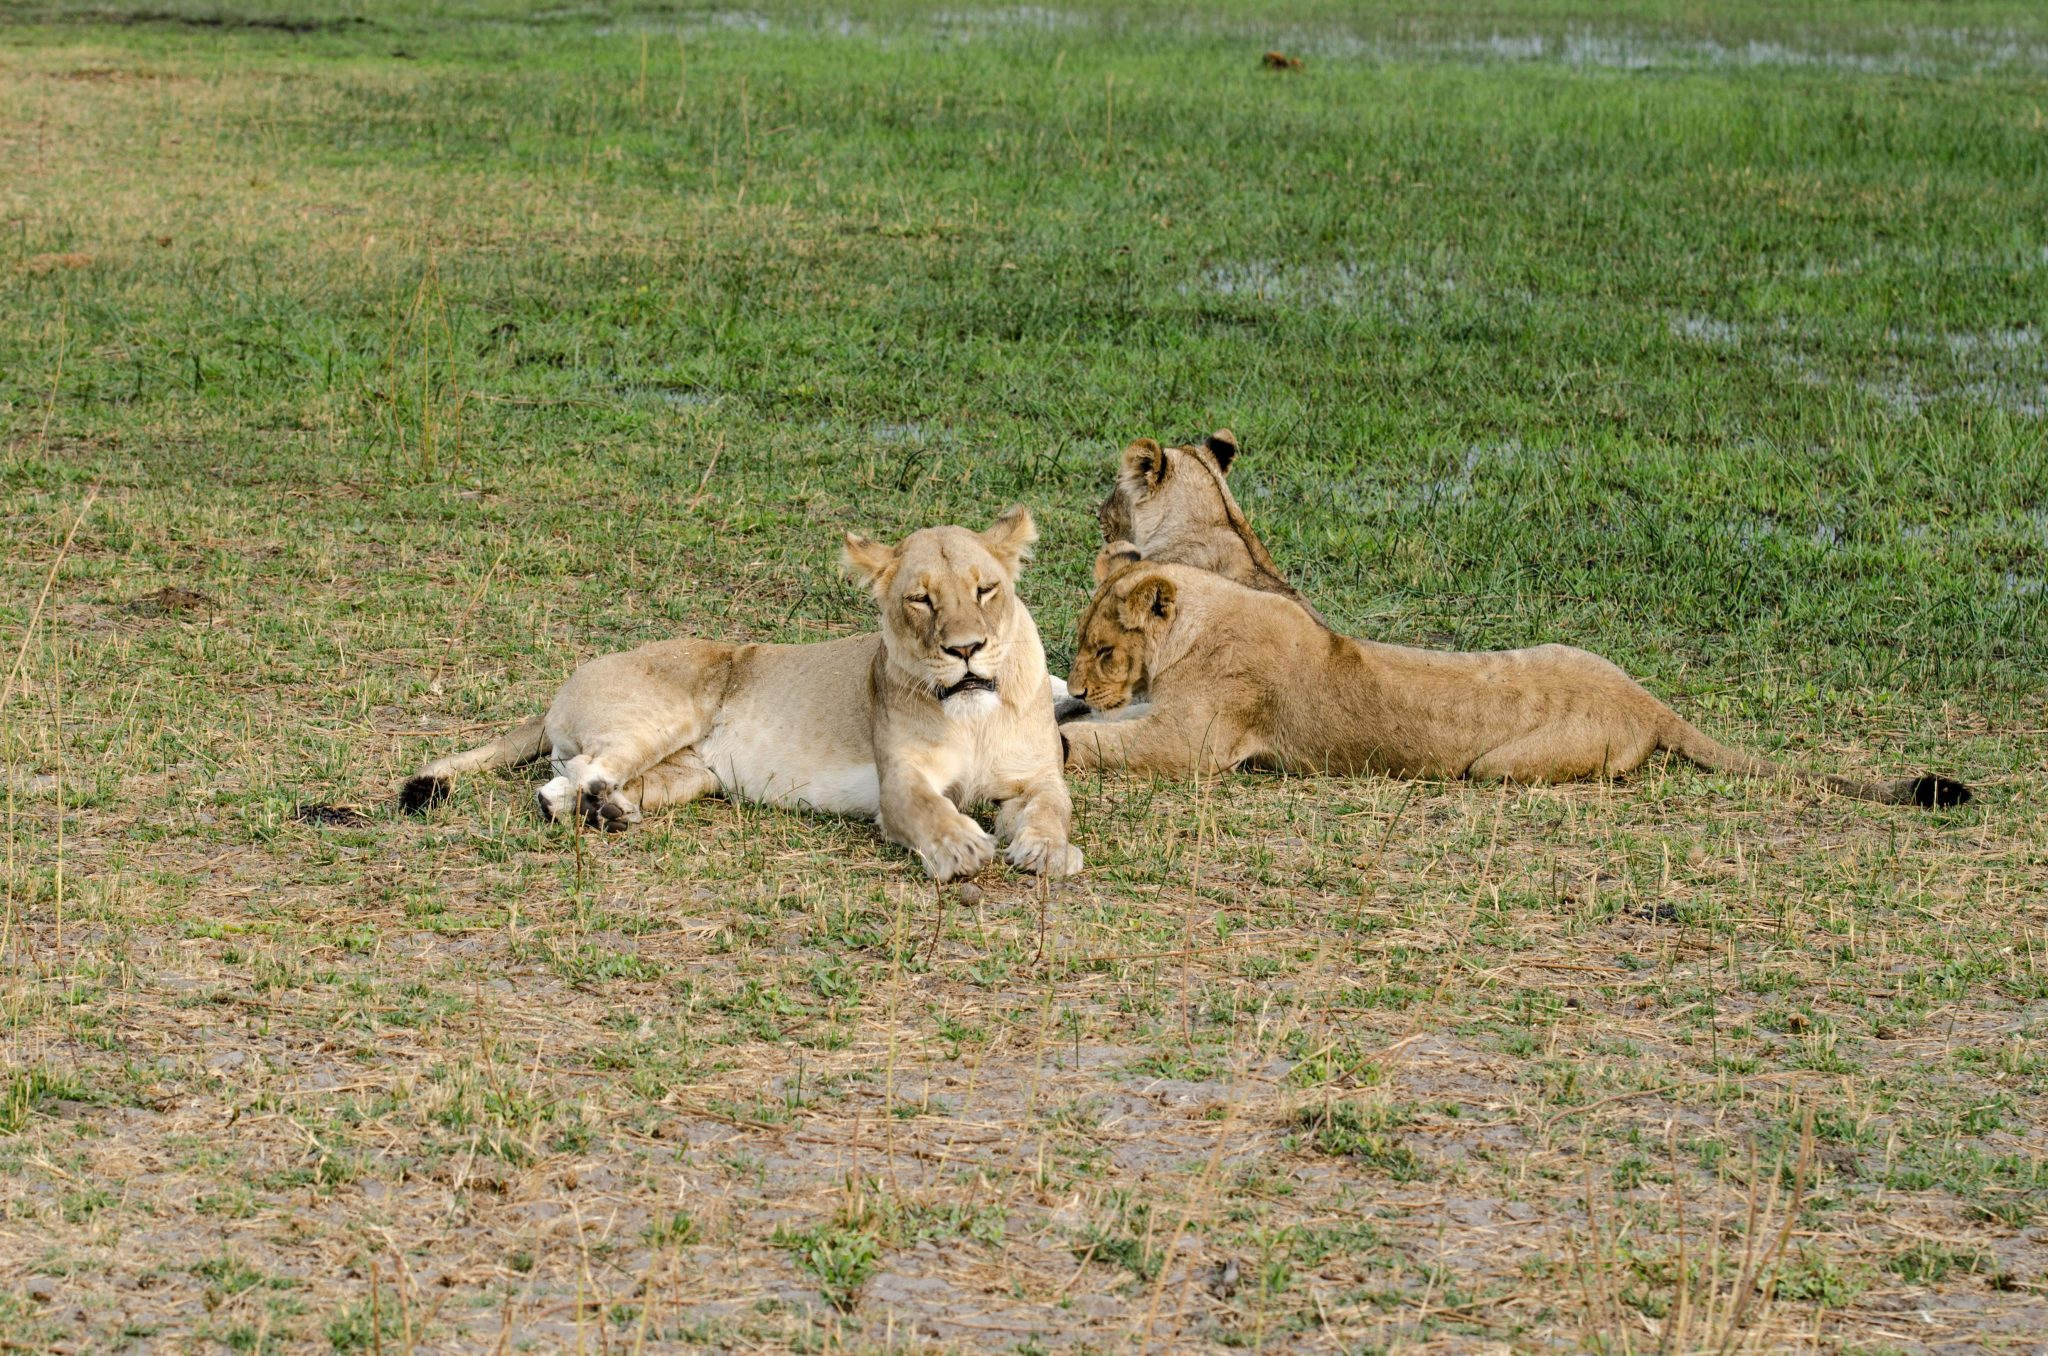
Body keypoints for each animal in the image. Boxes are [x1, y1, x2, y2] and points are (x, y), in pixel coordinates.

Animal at [400, 509, 1084, 881]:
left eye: (986, 588)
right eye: (921, 599)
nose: (966, 650)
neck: (972, 714)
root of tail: (560, 689)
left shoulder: (1038, 775)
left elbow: (1054, 808)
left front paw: (1048, 850)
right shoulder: (899, 783)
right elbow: (927, 810)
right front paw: (962, 847)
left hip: (689, 774)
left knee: (562, 784)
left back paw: (608, 811)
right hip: (668, 713)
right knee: (582, 770)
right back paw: (602, 807)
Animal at [1059, 546, 1971, 808]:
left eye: (1103, 650)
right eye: (1081, 646)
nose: (1093, 683)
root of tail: (1645, 697)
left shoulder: (1196, 742)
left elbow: (1103, 746)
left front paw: (1064, 736)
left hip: (1497, 766)